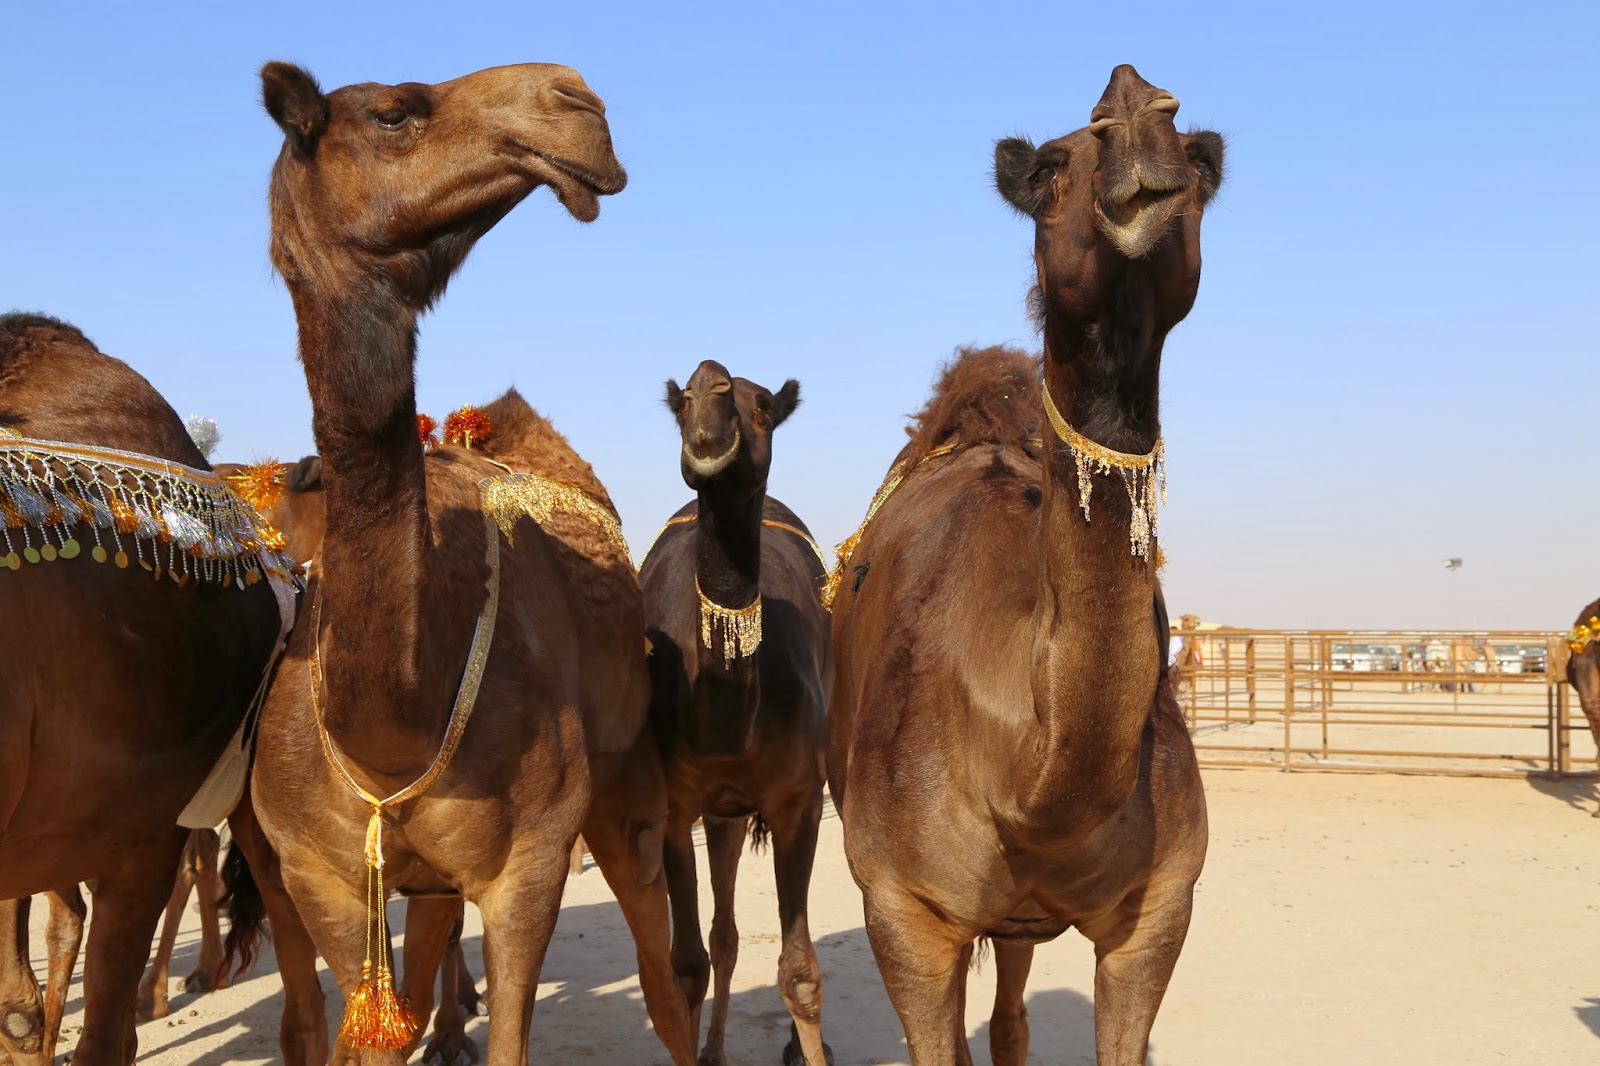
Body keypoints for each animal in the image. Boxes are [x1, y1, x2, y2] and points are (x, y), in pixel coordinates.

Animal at [239, 61, 694, 1066]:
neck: (388, 732)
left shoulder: (529, 865)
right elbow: (376, 1031)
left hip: (627, 785)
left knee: (665, 978)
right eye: (393, 113)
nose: (576, 101)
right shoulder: (321, 874)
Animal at [639, 361, 833, 1066]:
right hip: (717, 813)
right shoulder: (671, 809)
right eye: (682, 403)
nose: (710, 392)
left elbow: (800, 972)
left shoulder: (800, 801)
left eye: (763, 407)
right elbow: (685, 967)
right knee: (719, 939)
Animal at [825, 65, 1224, 1064]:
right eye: (1048, 167)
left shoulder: (1159, 909)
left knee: (1010, 1010)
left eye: (1196, 158)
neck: (1032, 790)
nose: (1135, 106)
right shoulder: (906, 911)